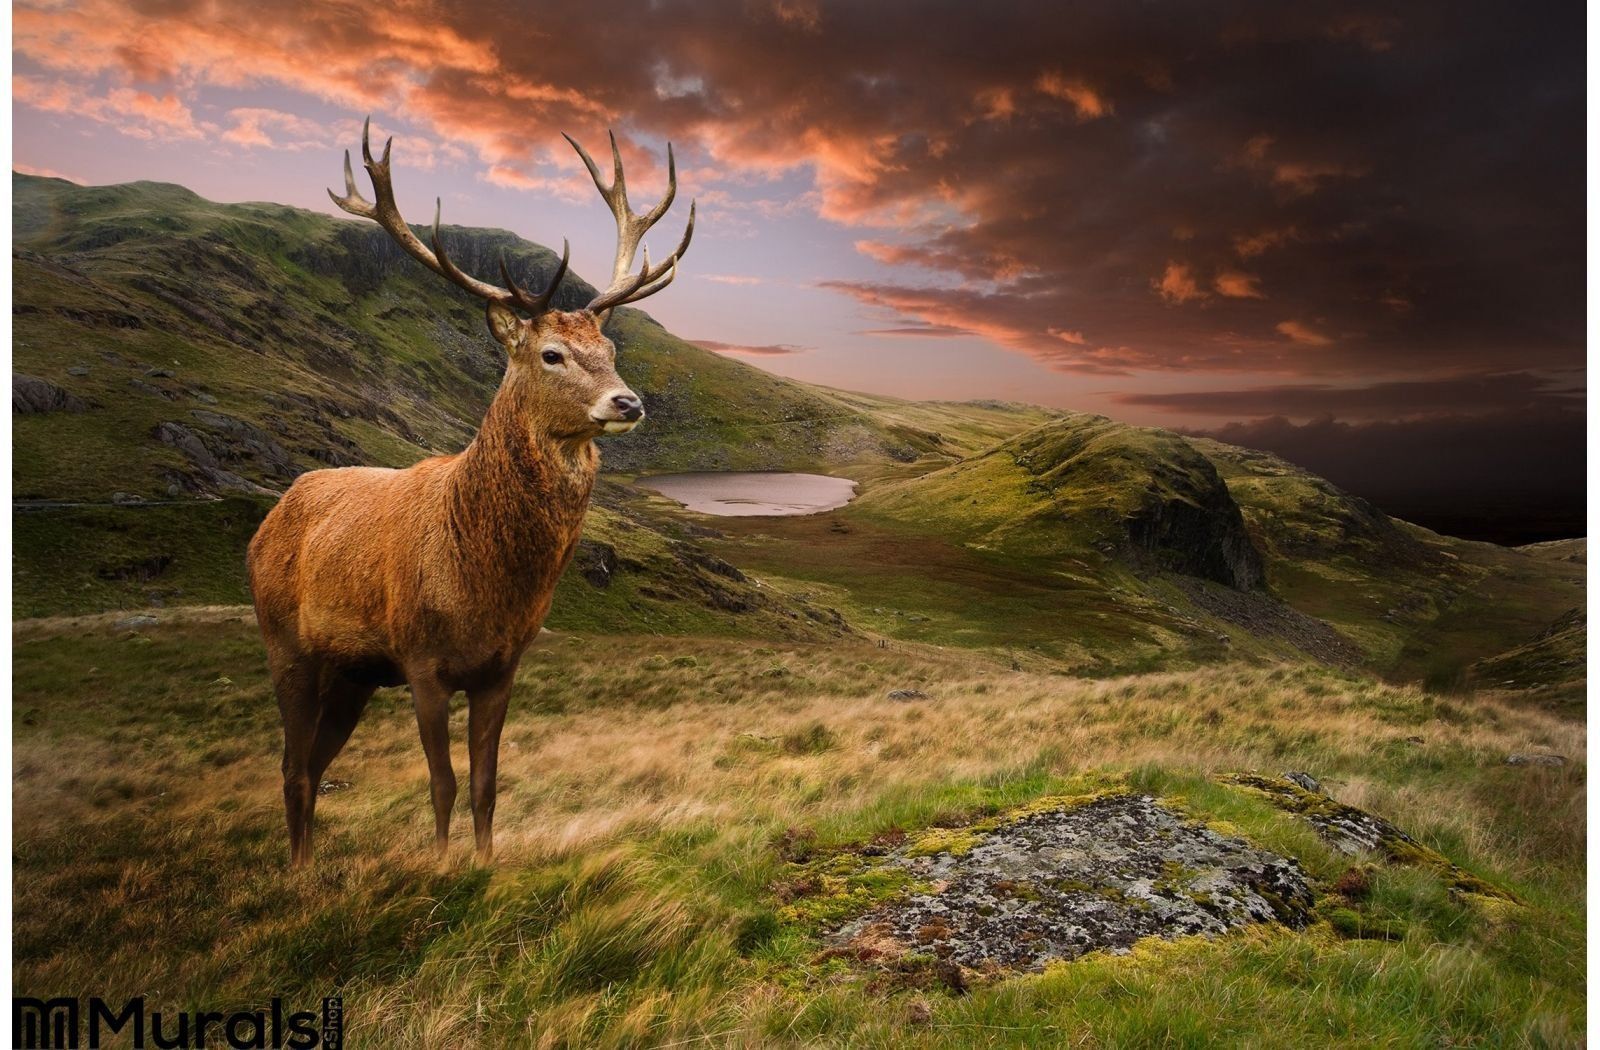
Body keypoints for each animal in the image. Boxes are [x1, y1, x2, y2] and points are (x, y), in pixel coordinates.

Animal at [247, 118, 693, 867]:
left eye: (608, 348)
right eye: (551, 354)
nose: (629, 402)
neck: (482, 582)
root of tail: (266, 522)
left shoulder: (501, 666)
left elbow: (487, 781)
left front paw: (485, 864)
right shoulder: (421, 660)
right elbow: (443, 782)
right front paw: (441, 865)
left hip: (351, 674)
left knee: (312, 763)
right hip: (287, 645)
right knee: (290, 766)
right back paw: (297, 872)